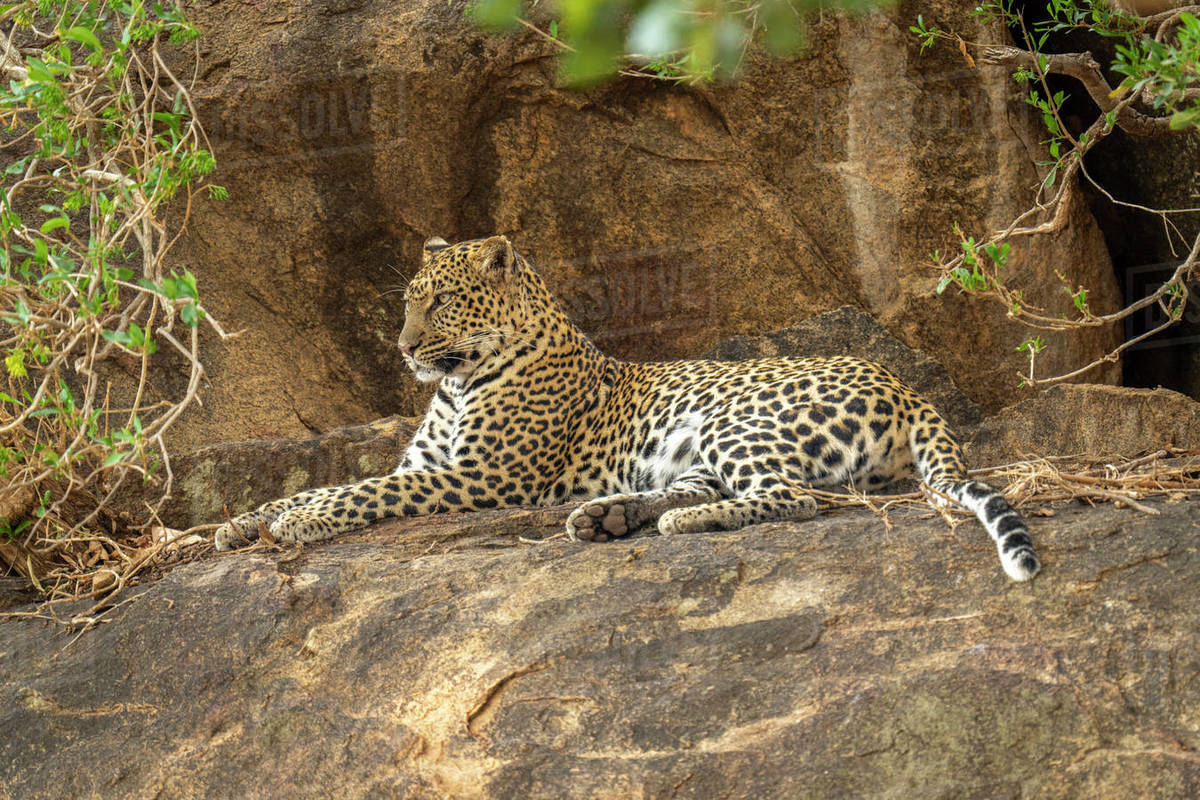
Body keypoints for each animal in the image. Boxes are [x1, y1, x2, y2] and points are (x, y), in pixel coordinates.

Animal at [213, 235, 1040, 581]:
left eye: (439, 303)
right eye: (408, 303)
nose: (403, 346)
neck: (457, 382)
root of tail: (906, 387)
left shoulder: (481, 478)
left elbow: (360, 493)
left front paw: (298, 521)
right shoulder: (432, 464)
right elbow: (339, 483)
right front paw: (241, 522)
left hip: (737, 420)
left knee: (794, 498)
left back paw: (673, 525)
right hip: (701, 447)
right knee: (705, 489)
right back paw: (608, 517)